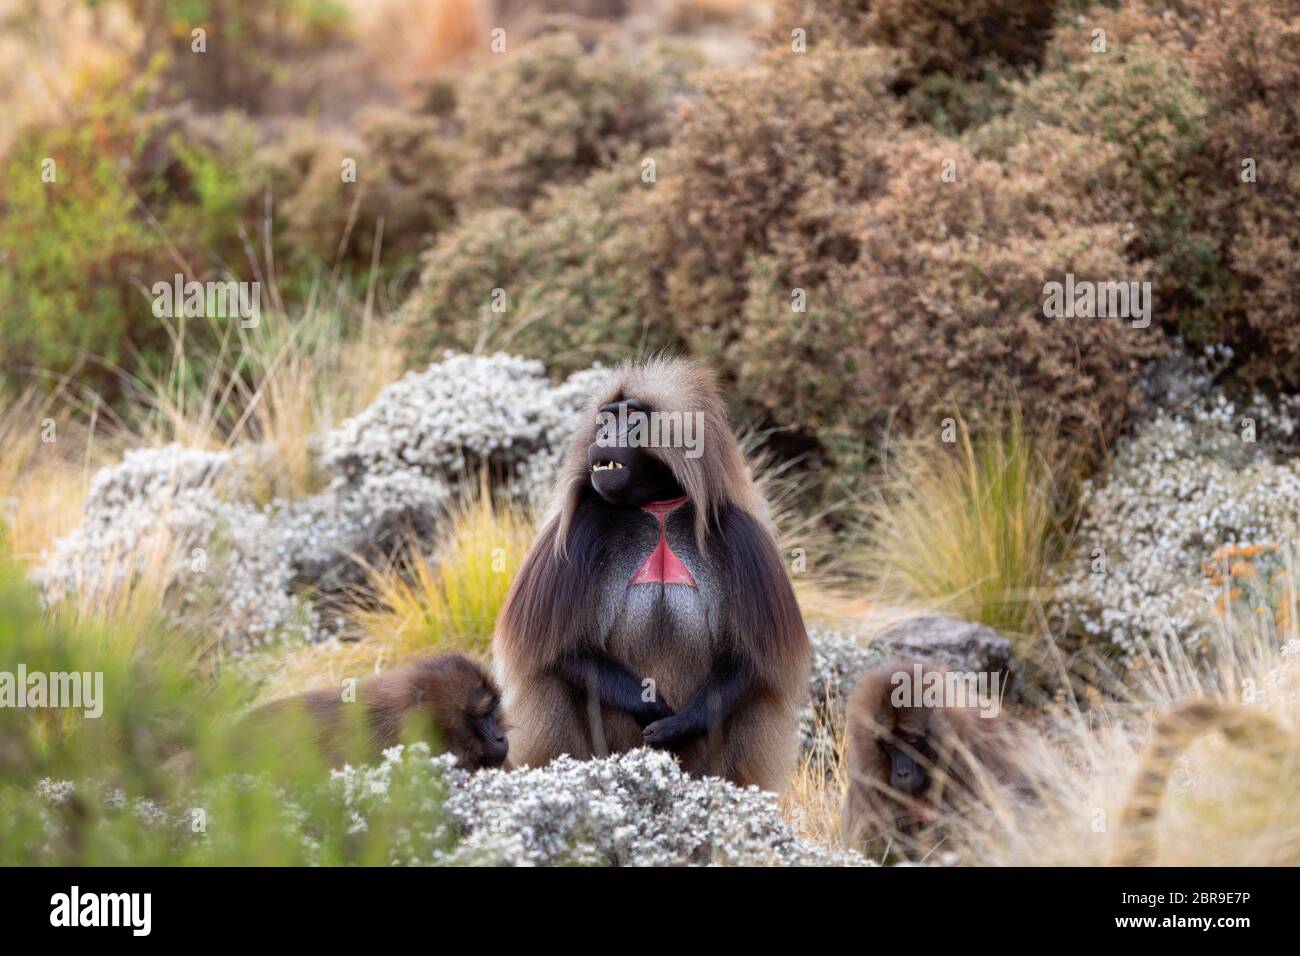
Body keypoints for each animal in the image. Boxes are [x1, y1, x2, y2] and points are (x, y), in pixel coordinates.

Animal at [493, 356, 810, 791]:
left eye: (630, 417)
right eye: (606, 417)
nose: (603, 435)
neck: (658, 506)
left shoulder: (740, 535)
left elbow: (751, 662)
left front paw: (675, 724)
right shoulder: (580, 527)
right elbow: (563, 651)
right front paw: (654, 708)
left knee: (756, 697)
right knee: (548, 681)